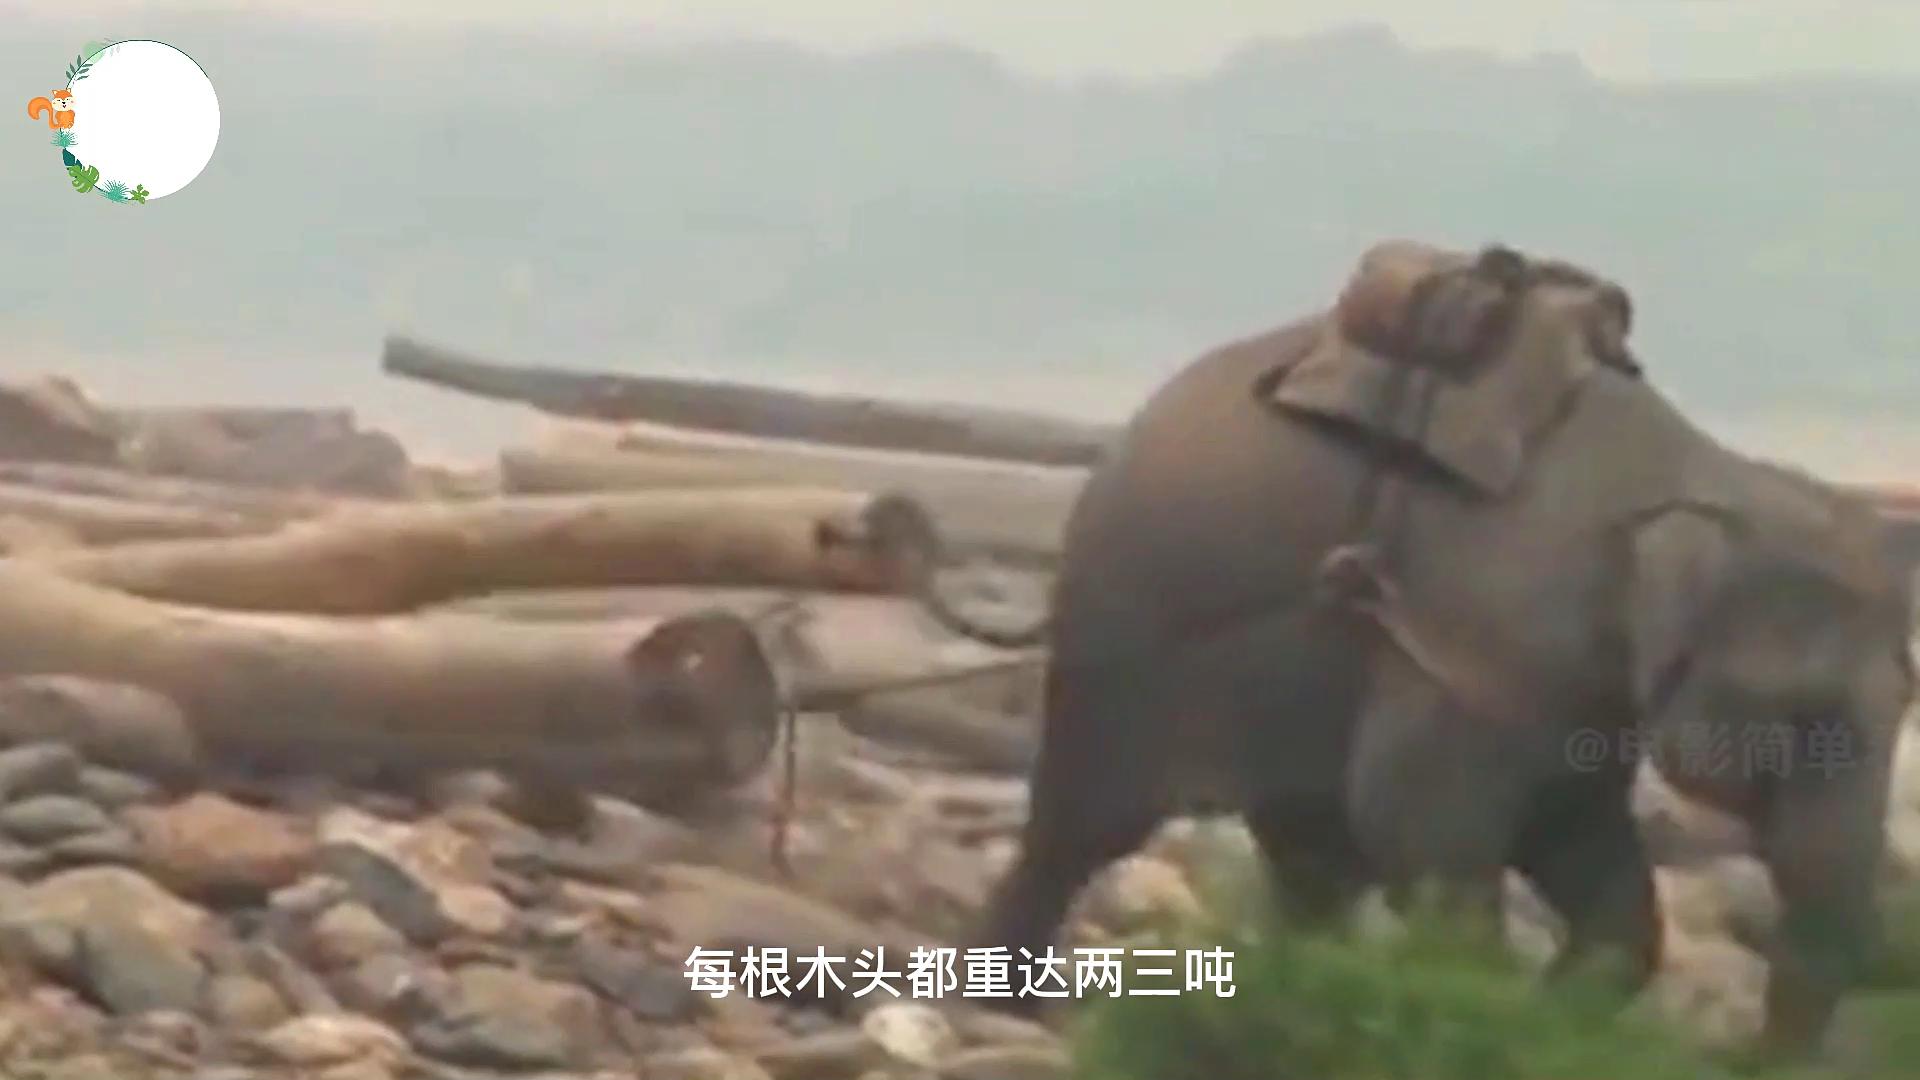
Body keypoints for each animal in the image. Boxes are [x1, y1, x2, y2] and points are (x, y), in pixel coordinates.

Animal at [924, 240, 1916, 1060]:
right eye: (1810, 718)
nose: (1751, 1057)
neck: (1702, 478)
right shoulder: (1469, 629)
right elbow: (1423, 829)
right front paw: (1487, 1016)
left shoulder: (1573, 686)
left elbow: (1587, 858)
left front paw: (1547, 1028)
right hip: (1128, 623)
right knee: (1086, 825)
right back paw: (1007, 1008)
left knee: (1311, 857)